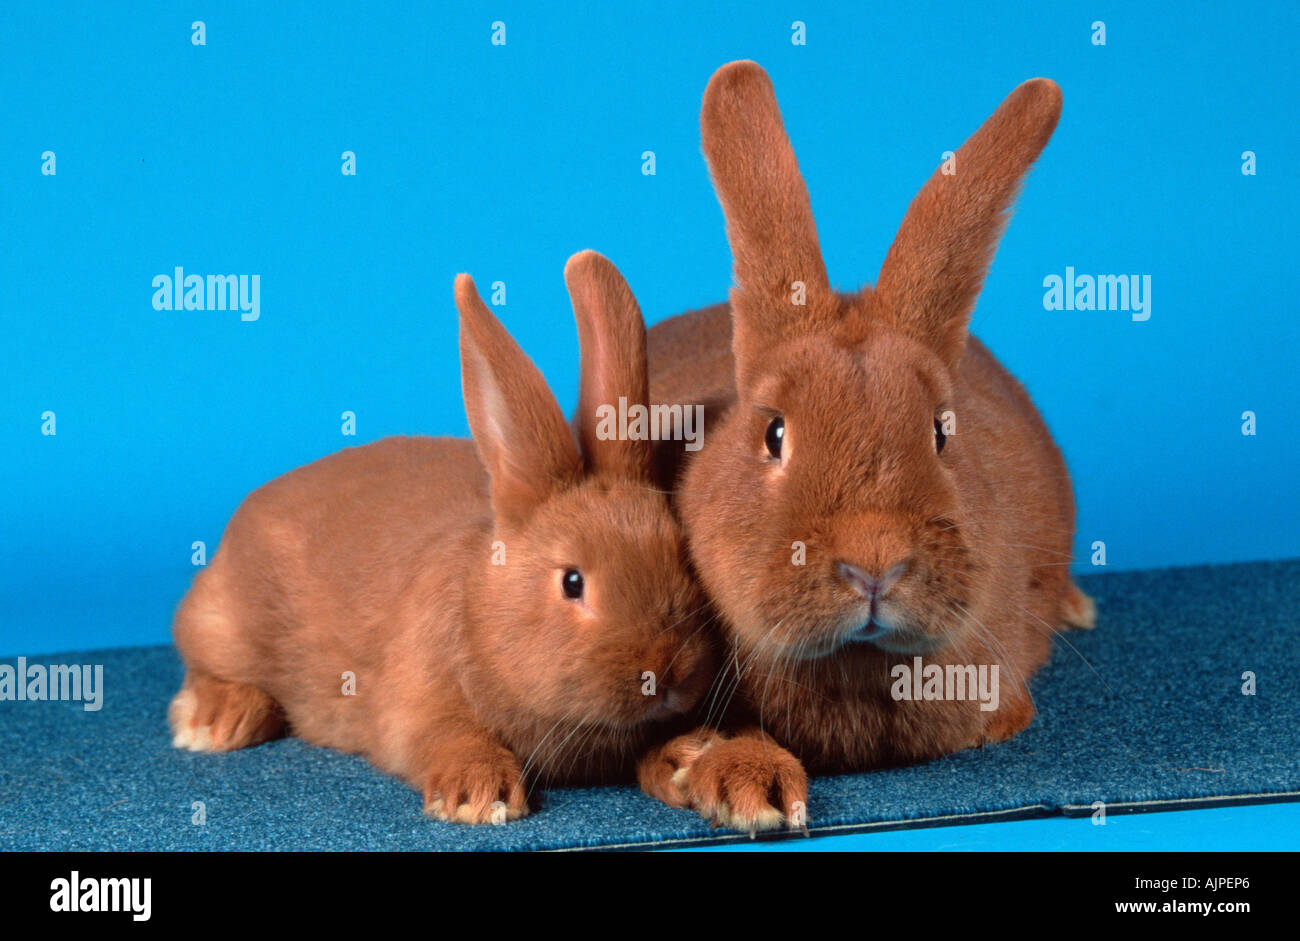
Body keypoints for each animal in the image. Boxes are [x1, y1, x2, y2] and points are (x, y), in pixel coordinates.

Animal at [168, 250, 725, 825]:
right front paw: (479, 795)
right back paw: (215, 720)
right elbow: (447, 736)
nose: (668, 671)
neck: (480, 610)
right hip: (225, 627)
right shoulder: (415, 702)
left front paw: (688, 757)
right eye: (573, 582)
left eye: (682, 557)